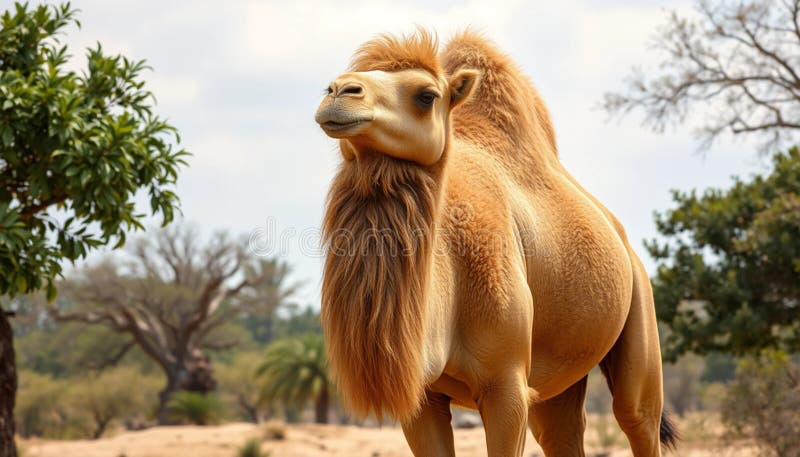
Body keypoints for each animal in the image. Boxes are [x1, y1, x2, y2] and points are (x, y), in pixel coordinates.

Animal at [315, 30, 677, 457]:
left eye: (426, 95)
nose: (339, 90)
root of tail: (624, 241)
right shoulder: (422, 396)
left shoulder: (506, 385)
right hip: (557, 384)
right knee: (561, 431)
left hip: (640, 317)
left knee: (637, 415)